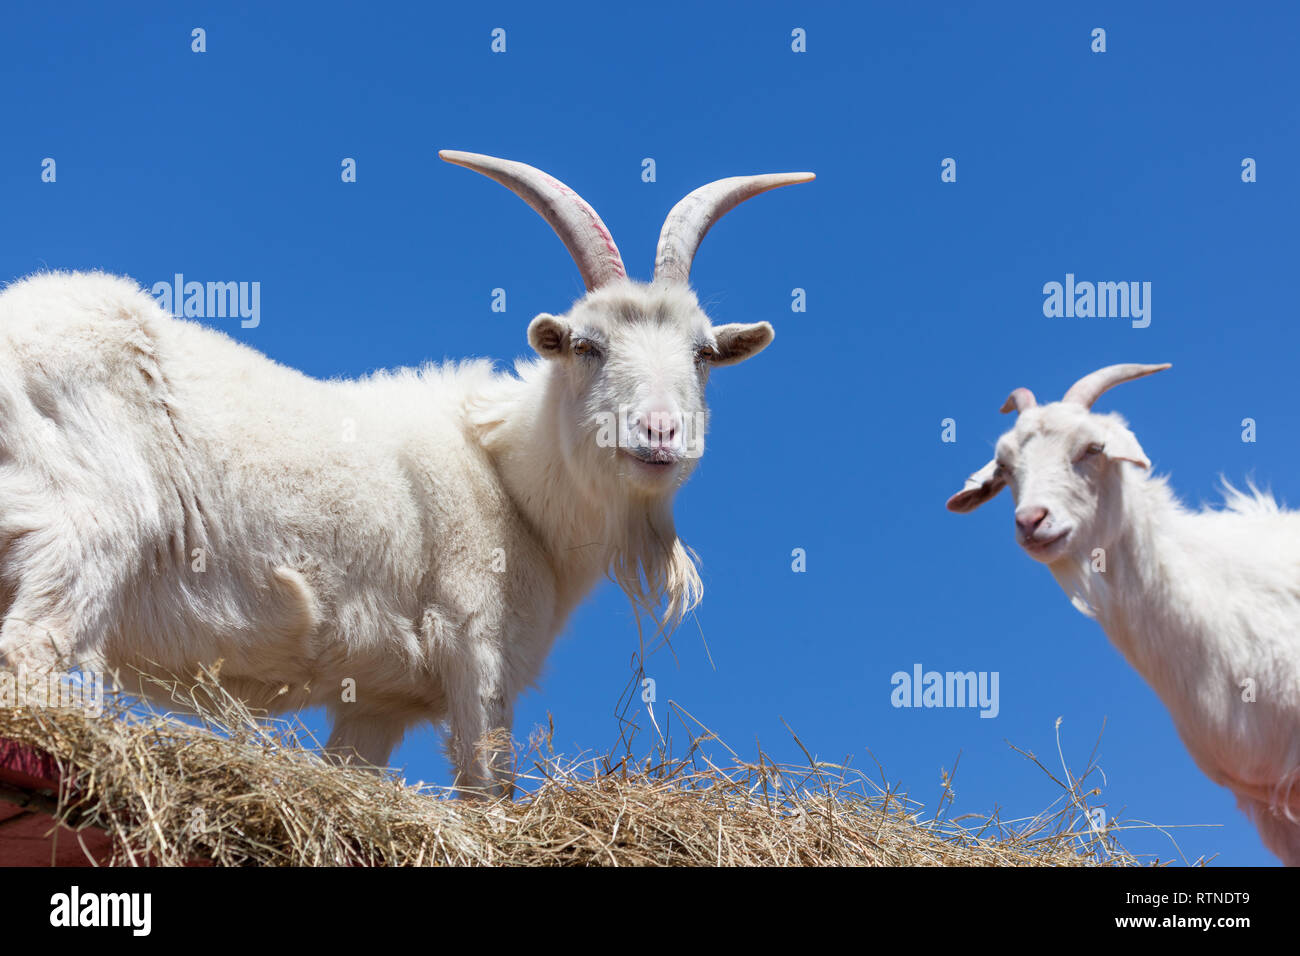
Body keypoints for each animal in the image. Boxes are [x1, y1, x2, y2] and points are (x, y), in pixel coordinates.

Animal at [0, 150, 814, 794]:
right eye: (586, 345)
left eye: (704, 354)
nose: (660, 434)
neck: (509, 477)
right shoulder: (476, 644)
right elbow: (488, 789)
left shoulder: (376, 700)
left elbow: (354, 771)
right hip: (87, 530)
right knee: (31, 652)